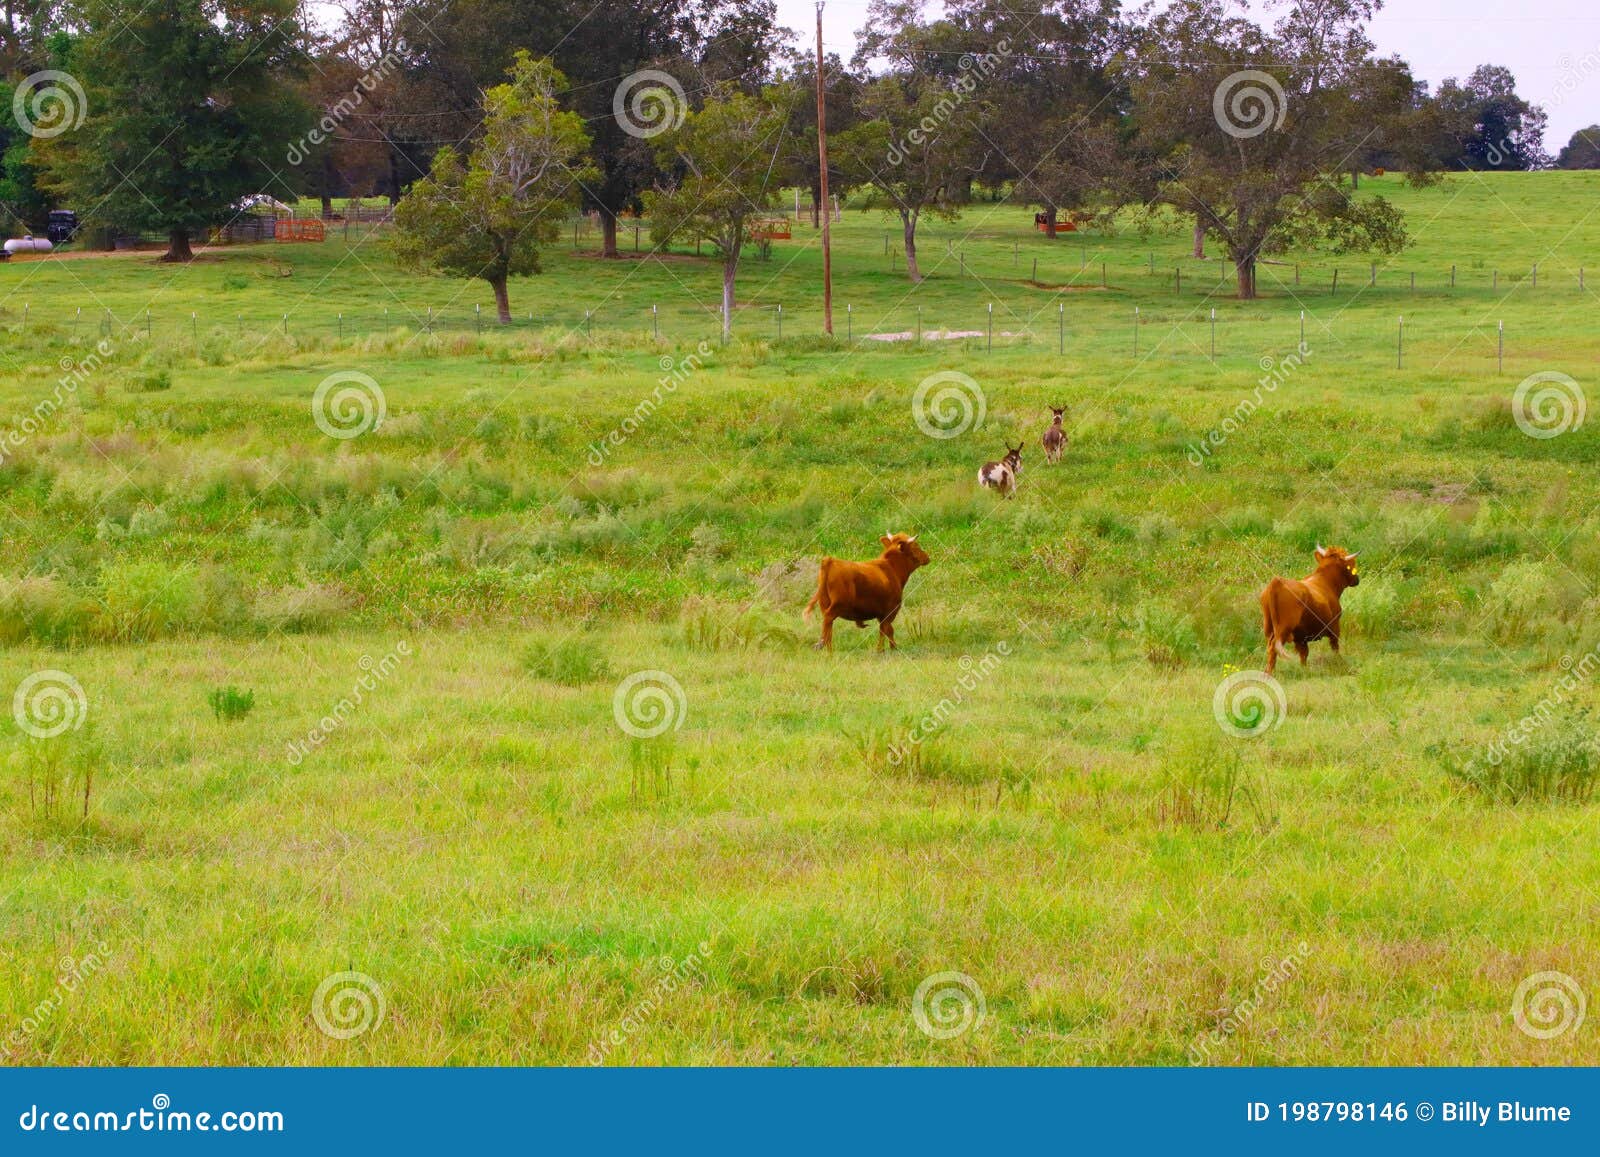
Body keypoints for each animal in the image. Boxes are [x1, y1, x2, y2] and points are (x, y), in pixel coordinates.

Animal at [1260, 544, 1360, 675]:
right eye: (1352, 563)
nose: (1357, 579)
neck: (1326, 582)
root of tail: (1277, 582)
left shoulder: (1301, 636)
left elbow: (1304, 654)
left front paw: (1304, 670)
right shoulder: (1334, 626)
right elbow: (1335, 647)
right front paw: (1339, 662)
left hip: (1269, 627)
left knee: (1270, 647)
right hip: (1283, 628)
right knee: (1273, 647)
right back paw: (1269, 673)